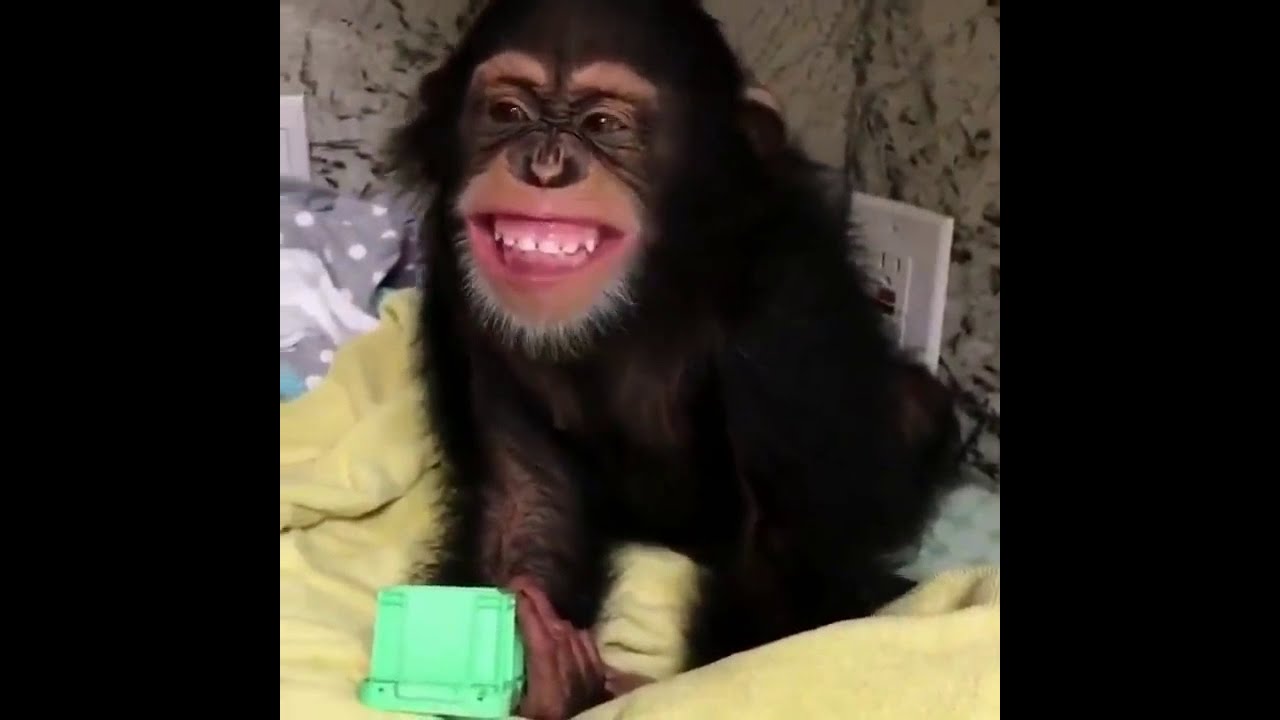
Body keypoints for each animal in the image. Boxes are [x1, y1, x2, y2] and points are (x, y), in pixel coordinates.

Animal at [388, 1, 963, 718]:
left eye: (604, 124)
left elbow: (778, 551)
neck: (647, 286)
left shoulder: (784, 301)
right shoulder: (465, 296)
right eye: (507, 112)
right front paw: (546, 670)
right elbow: (526, 495)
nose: (545, 163)